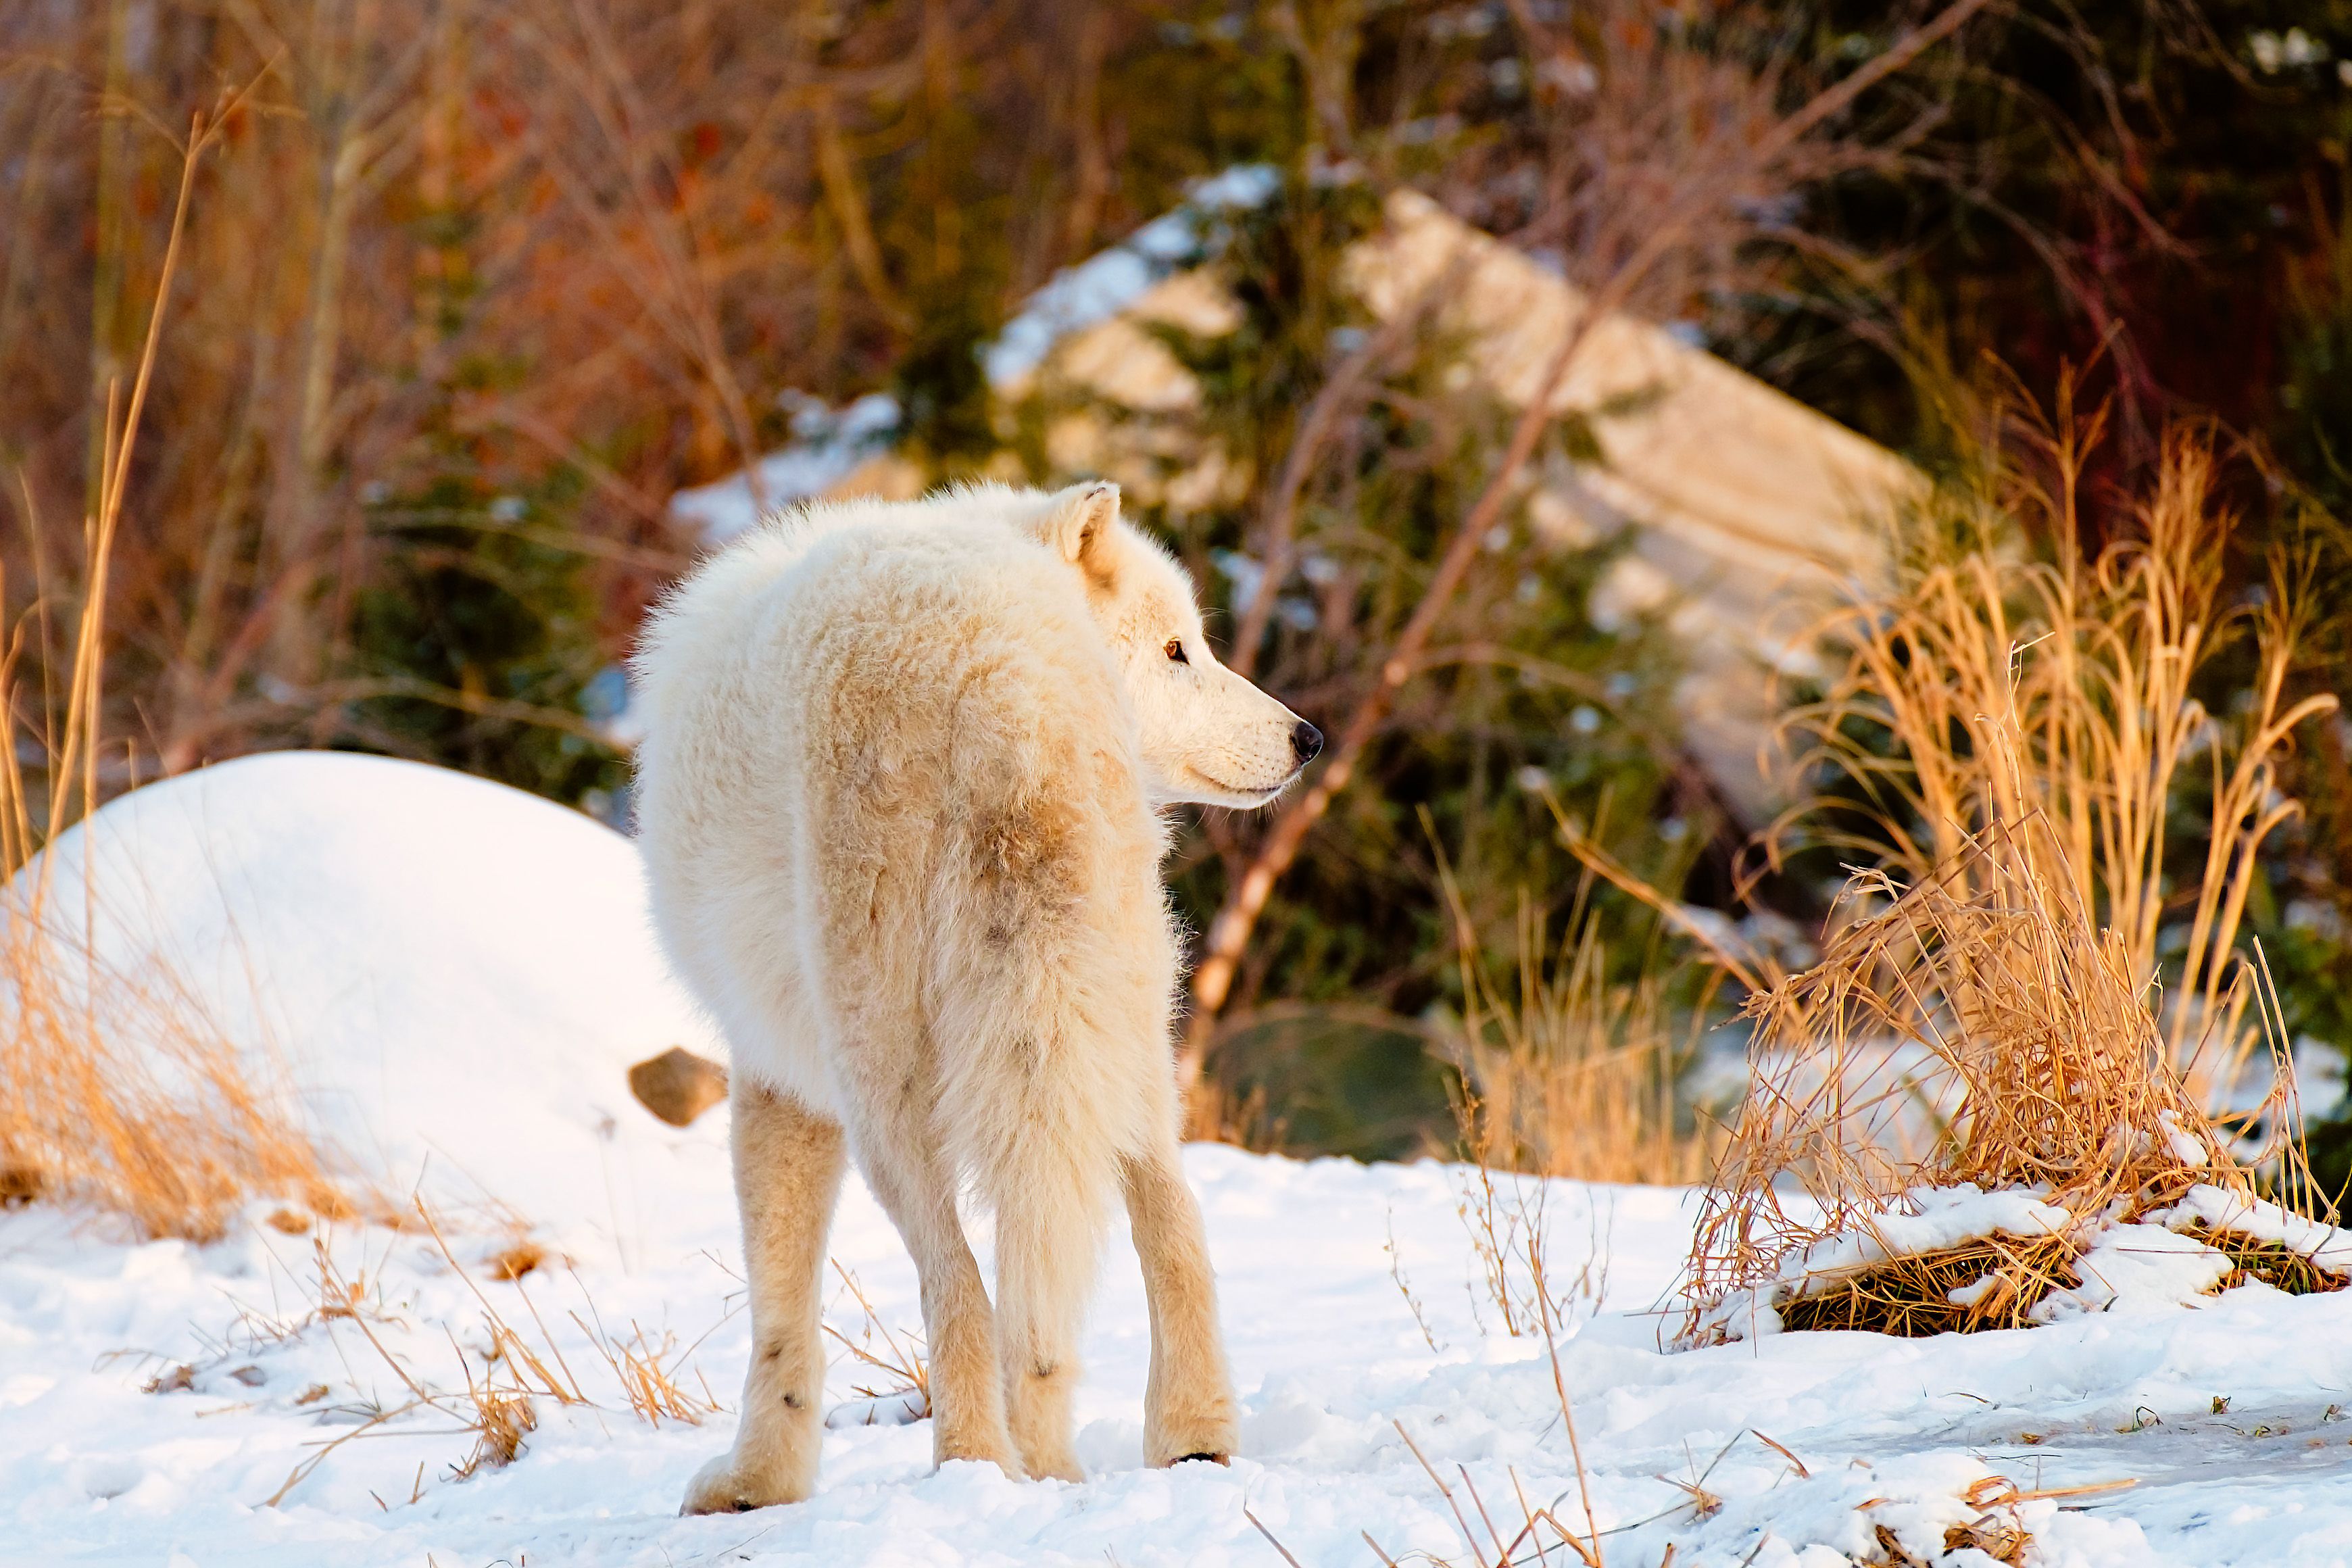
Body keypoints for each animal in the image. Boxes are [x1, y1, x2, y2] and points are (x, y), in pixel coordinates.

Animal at [630, 480, 1320, 1511]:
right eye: (1178, 651)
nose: (1309, 738)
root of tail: (1008, 664)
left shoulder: (774, 1072)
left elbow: (778, 1303)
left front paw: (756, 1483)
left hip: (885, 1073)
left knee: (957, 1285)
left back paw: (977, 1467)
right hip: (1119, 1010)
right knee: (1156, 1221)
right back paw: (1171, 1445)